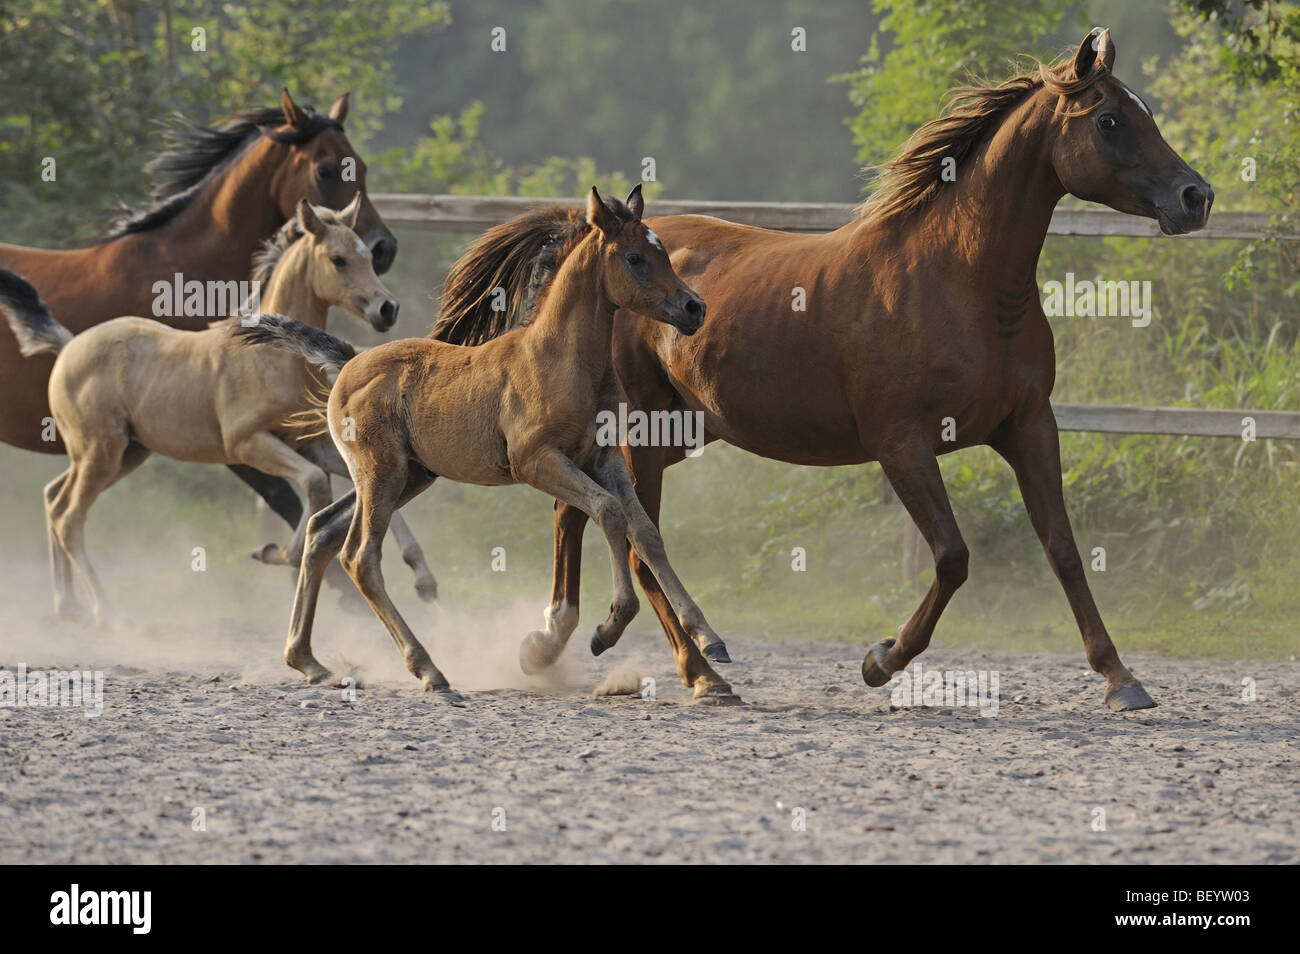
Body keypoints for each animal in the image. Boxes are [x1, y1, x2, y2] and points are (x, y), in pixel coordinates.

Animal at [0, 200, 436, 628]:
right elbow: (313, 484)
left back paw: (67, 605)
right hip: (100, 452)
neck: (272, 355)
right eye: (339, 259)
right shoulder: (246, 444)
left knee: (54, 499)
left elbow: (359, 487)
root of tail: (68, 345)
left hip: (123, 453)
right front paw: (279, 552)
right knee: (69, 517)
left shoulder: (309, 445)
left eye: (368, 256)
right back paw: (106, 612)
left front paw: (423, 579)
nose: (387, 308)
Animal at [232, 186, 729, 701]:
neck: (561, 359)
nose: (694, 307)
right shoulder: (536, 461)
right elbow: (609, 511)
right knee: (360, 558)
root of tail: (349, 361)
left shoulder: (604, 459)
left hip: (407, 476)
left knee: (322, 531)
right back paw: (427, 668)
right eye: (635, 257)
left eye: (663, 252)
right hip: (381, 473)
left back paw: (307, 660)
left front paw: (709, 638)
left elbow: (644, 531)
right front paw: (607, 628)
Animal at [430, 29, 1214, 712]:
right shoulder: (903, 444)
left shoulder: (1029, 427)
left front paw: (1121, 679)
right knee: (633, 535)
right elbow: (953, 557)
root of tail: (588, 238)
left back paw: (551, 641)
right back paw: (698, 671)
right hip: (644, 436)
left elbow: (1063, 550)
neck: (963, 284)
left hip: (675, 433)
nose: (1196, 197)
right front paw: (880, 661)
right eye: (1110, 119)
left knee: (580, 512)